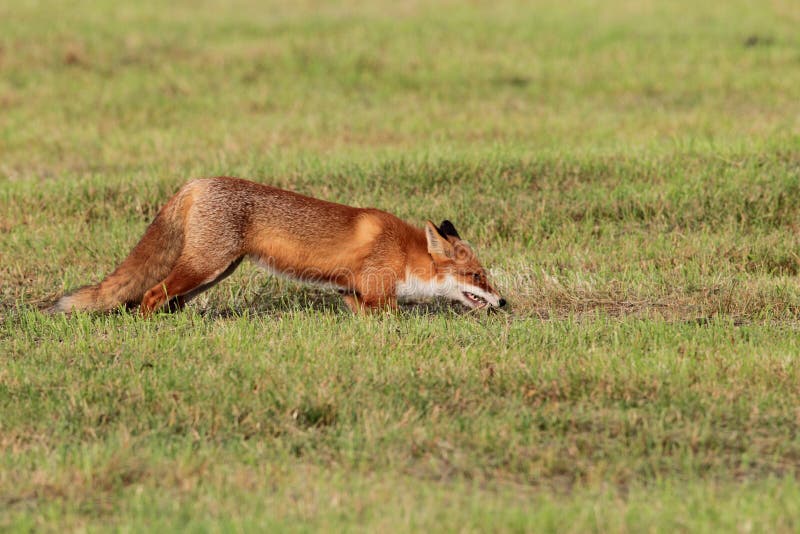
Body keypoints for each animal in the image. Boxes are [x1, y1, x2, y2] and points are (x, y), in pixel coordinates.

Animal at [53, 176, 506, 315]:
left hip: (215, 271)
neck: (406, 253)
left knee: (169, 300)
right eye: (476, 276)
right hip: (204, 267)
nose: (503, 302)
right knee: (149, 295)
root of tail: (196, 182)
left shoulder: (351, 293)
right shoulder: (377, 293)